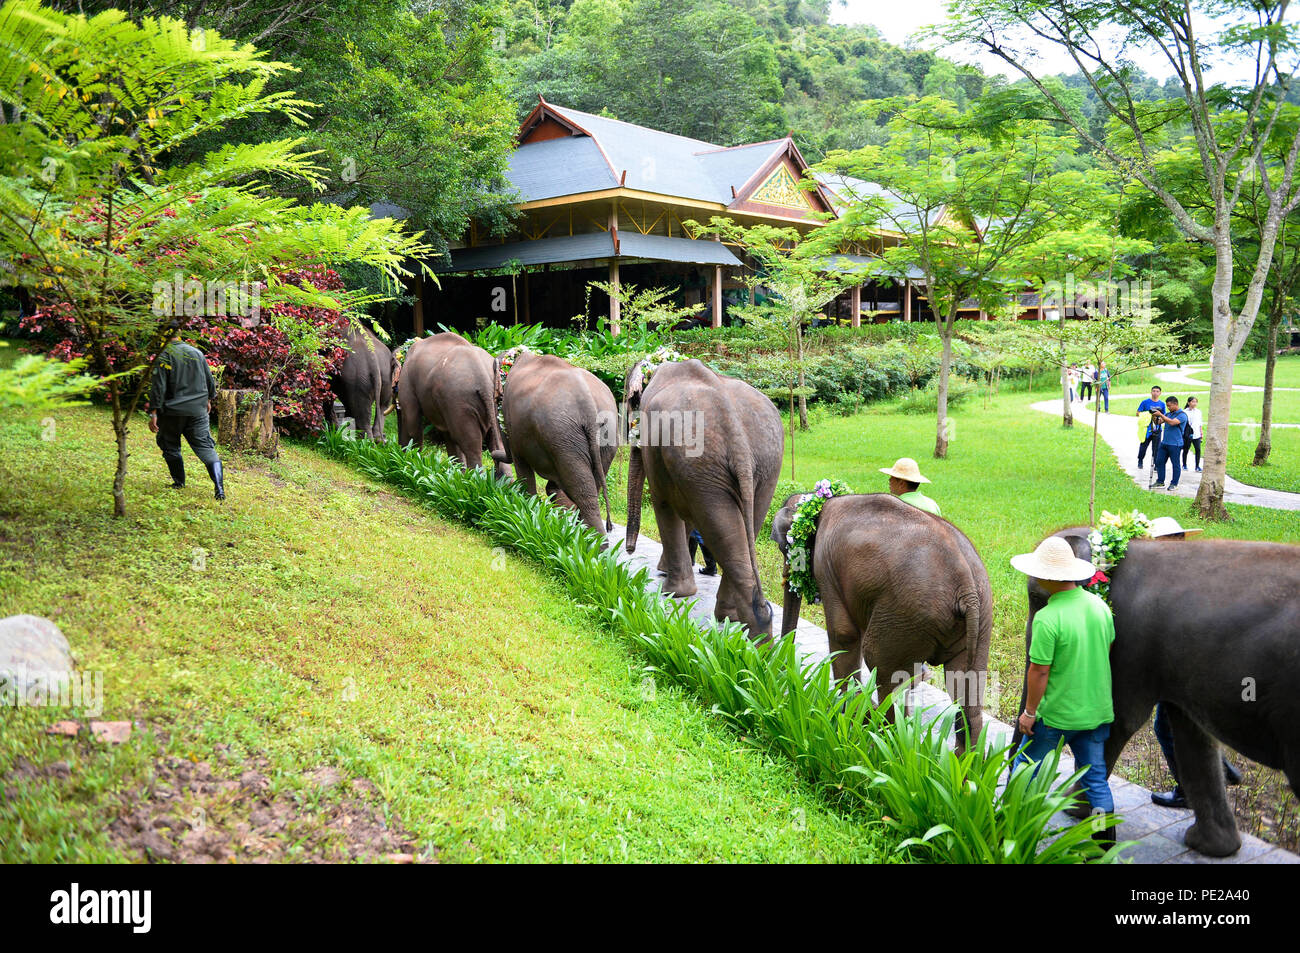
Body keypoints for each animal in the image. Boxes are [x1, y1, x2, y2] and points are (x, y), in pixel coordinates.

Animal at [397, 332, 506, 476]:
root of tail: (485, 381)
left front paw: (412, 463)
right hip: (494, 403)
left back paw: (474, 478)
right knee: (495, 441)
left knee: (471, 444)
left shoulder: (407, 380)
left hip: (460, 400)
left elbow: (412, 422)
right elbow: (448, 434)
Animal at [489, 350, 615, 535]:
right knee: (594, 484)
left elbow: (523, 469)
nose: (494, 463)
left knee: (583, 492)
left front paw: (528, 510)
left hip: (563, 436)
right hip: (603, 438)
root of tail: (589, 405)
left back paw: (594, 540)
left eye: (497, 400)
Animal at [624, 358, 784, 639]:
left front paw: (673, 591)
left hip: (702, 461)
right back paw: (744, 623)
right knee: (740, 529)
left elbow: (664, 503)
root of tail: (737, 434)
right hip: (761, 464)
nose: (629, 550)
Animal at [770, 492, 993, 750]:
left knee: (882, 667)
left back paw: (885, 743)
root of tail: (966, 583)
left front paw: (846, 717)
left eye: (784, 548)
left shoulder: (825, 566)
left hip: (907, 612)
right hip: (978, 618)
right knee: (966, 692)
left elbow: (843, 634)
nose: (782, 675)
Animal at [1021, 528, 1300, 857]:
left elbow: (1117, 721)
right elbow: (1192, 738)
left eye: (1037, 597)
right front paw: (1212, 846)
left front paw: (1070, 808)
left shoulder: (1128, 639)